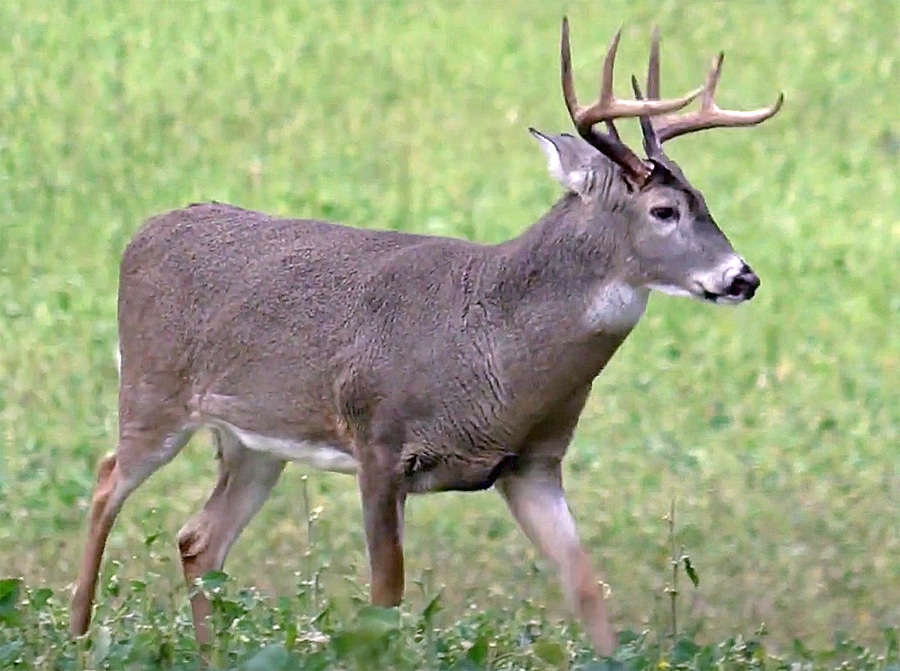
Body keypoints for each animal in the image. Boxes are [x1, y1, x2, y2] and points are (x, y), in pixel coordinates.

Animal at [69, 17, 782, 656]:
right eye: (663, 210)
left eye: (706, 202)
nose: (742, 277)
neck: (495, 349)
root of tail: (146, 230)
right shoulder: (379, 440)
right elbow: (386, 595)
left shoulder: (533, 463)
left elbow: (586, 587)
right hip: (153, 389)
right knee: (106, 482)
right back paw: (76, 634)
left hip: (254, 440)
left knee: (198, 538)